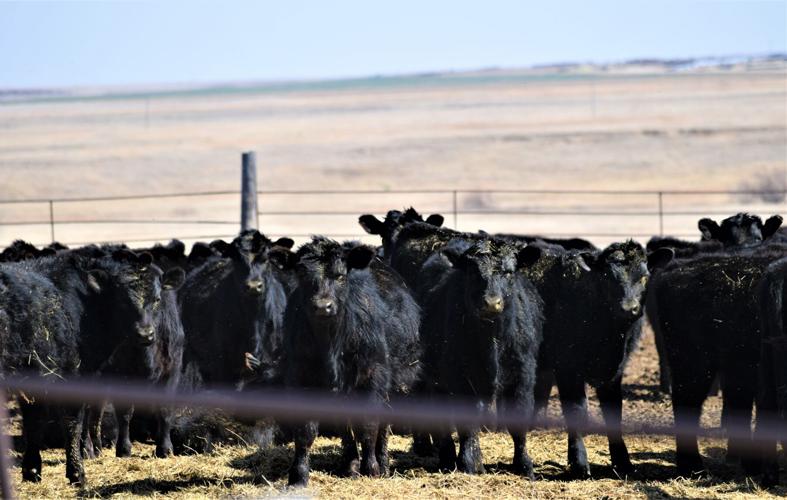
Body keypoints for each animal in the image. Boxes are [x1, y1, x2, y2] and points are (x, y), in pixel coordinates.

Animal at [283, 237, 421, 487]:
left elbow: (368, 425)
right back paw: (350, 463)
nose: (322, 306)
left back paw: (382, 463)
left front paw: (372, 468)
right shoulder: (300, 377)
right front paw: (298, 476)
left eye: (340, 276)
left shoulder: (372, 376)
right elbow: (305, 431)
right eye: (302, 275)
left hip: (395, 381)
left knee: (383, 423)